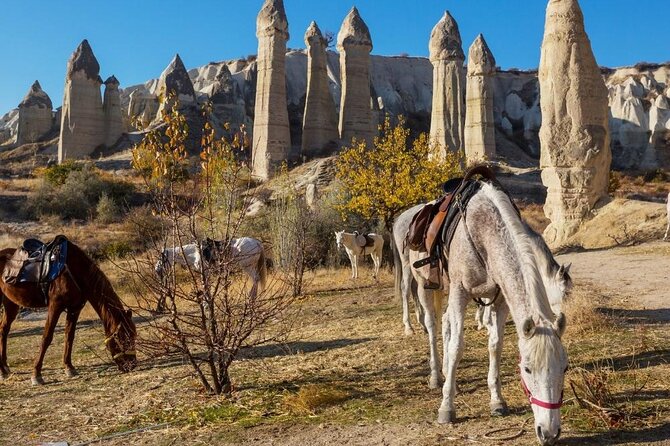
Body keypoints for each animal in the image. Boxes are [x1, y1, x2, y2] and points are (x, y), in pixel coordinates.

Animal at [0, 240, 137, 385]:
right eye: (125, 338)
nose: (132, 365)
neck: (75, 271)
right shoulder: (55, 306)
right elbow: (47, 337)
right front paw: (36, 374)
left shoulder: (74, 309)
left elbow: (69, 336)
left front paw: (69, 367)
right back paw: (3, 371)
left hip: (10, 303)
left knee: (4, 330)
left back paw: (5, 369)